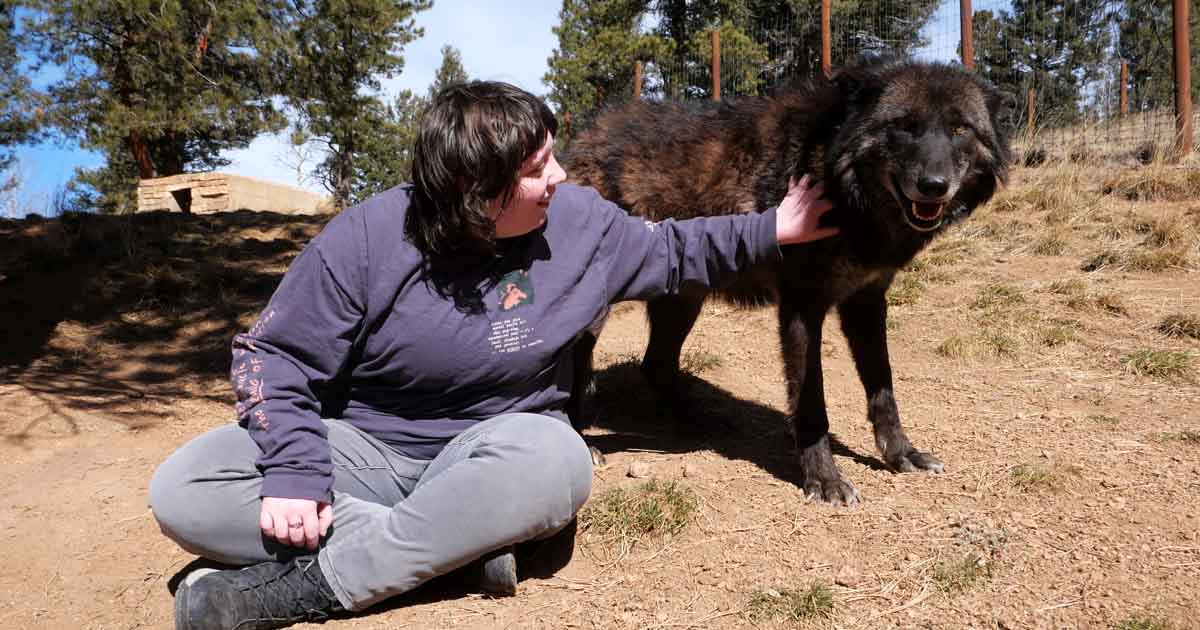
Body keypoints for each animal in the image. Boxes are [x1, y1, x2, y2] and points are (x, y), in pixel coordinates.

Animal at [564, 59, 1013, 505]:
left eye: (961, 129)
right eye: (904, 125)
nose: (934, 186)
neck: (839, 183)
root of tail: (583, 136)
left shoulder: (867, 302)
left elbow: (883, 387)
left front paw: (903, 453)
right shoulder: (802, 304)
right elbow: (811, 401)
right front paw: (824, 478)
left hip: (683, 297)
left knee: (655, 363)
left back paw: (700, 420)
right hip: (599, 308)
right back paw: (584, 443)